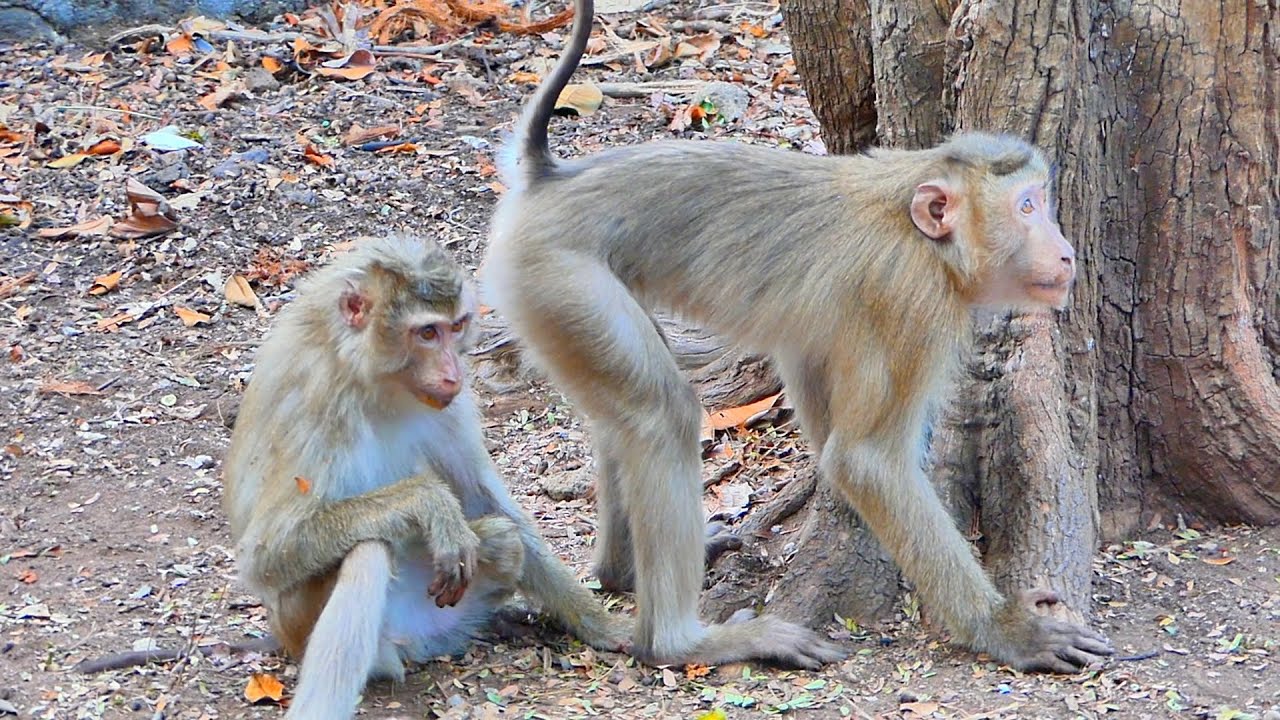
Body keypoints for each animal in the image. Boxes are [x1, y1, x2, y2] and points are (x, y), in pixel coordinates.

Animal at [221, 235, 631, 720]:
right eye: (427, 333)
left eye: (455, 327)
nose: (454, 371)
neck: (368, 377)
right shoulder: (313, 403)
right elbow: (263, 552)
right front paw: (428, 501)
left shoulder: (447, 405)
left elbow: (483, 501)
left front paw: (599, 622)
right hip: (298, 626)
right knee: (367, 551)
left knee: (503, 540)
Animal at [479, 0, 1115, 673]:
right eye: (1027, 208)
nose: (1066, 252)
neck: (927, 239)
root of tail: (548, 182)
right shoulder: (912, 301)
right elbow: (865, 462)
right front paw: (1004, 628)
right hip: (556, 278)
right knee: (660, 413)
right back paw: (680, 641)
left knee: (616, 414)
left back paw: (620, 572)